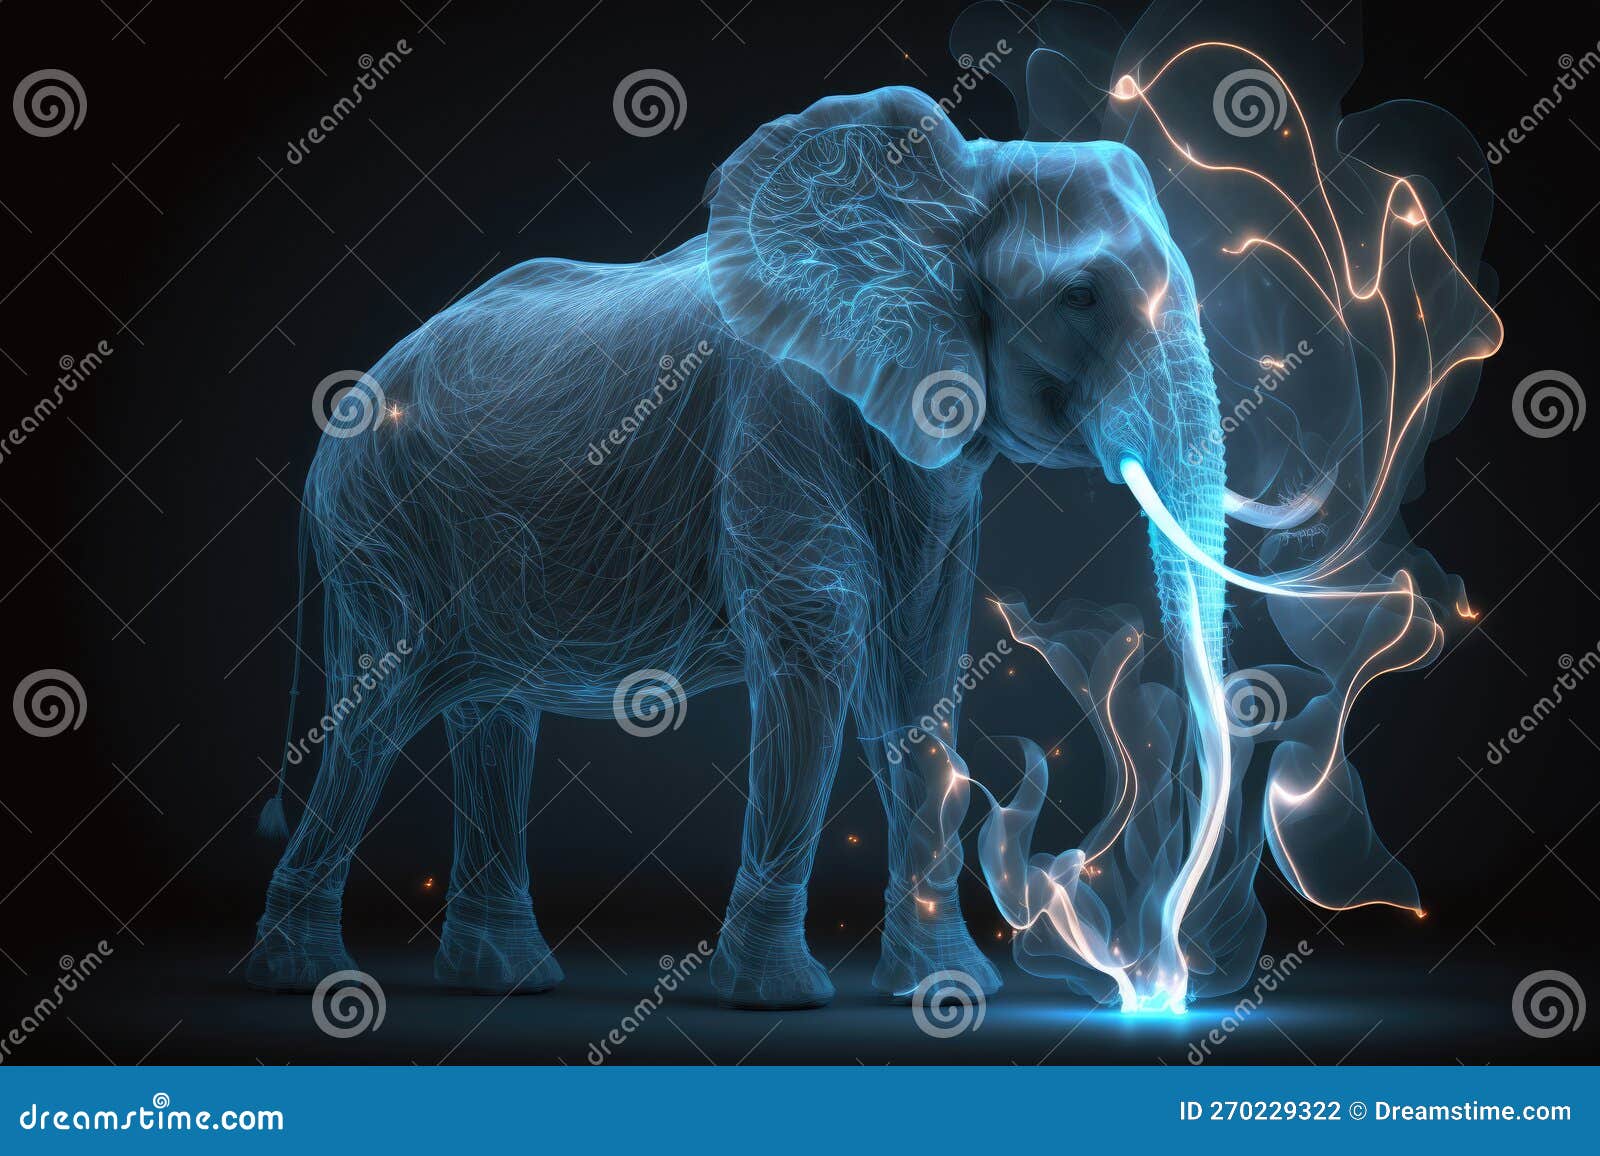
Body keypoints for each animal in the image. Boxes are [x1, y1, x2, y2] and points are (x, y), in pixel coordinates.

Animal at [246, 86, 1317, 1009]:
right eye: (1083, 296)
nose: (1162, 983)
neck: (947, 189)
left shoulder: (927, 452)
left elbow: (918, 664)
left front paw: (946, 992)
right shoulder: (776, 407)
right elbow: (818, 644)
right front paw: (776, 998)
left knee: (492, 718)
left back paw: (505, 980)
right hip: (382, 529)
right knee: (376, 711)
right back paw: (308, 981)